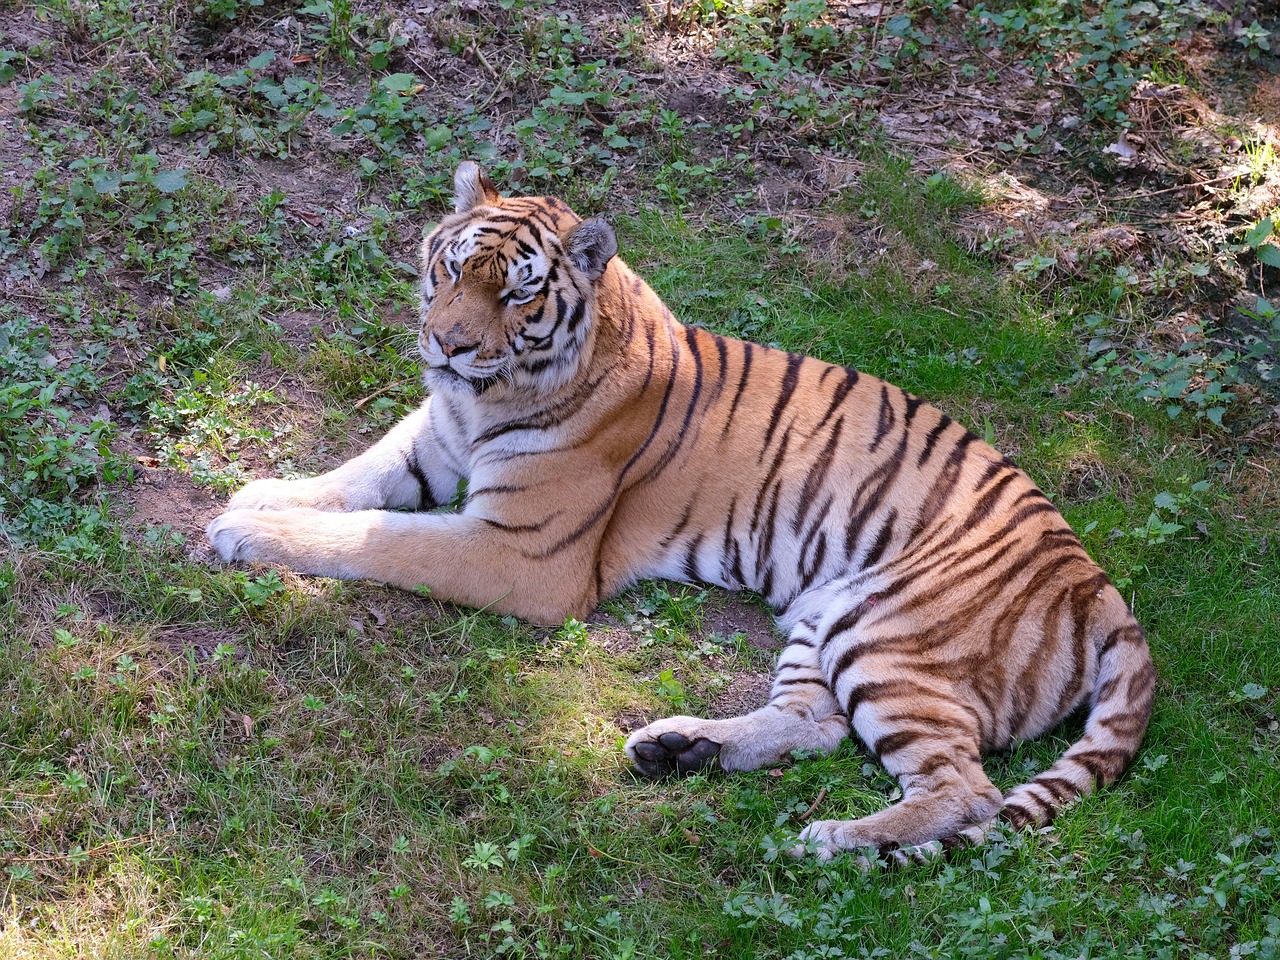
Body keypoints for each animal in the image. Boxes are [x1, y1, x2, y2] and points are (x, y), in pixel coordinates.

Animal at [207, 161, 1155, 863]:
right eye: (450, 269)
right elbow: (358, 474)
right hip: (827, 615)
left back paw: (832, 838)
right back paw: (680, 749)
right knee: (816, 723)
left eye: (516, 295)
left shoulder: (523, 554)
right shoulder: (432, 439)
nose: (447, 343)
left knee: (966, 786)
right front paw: (258, 492)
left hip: (890, 634)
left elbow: (384, 538)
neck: (482, 400)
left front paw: (244, 529)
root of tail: (1098, 585)